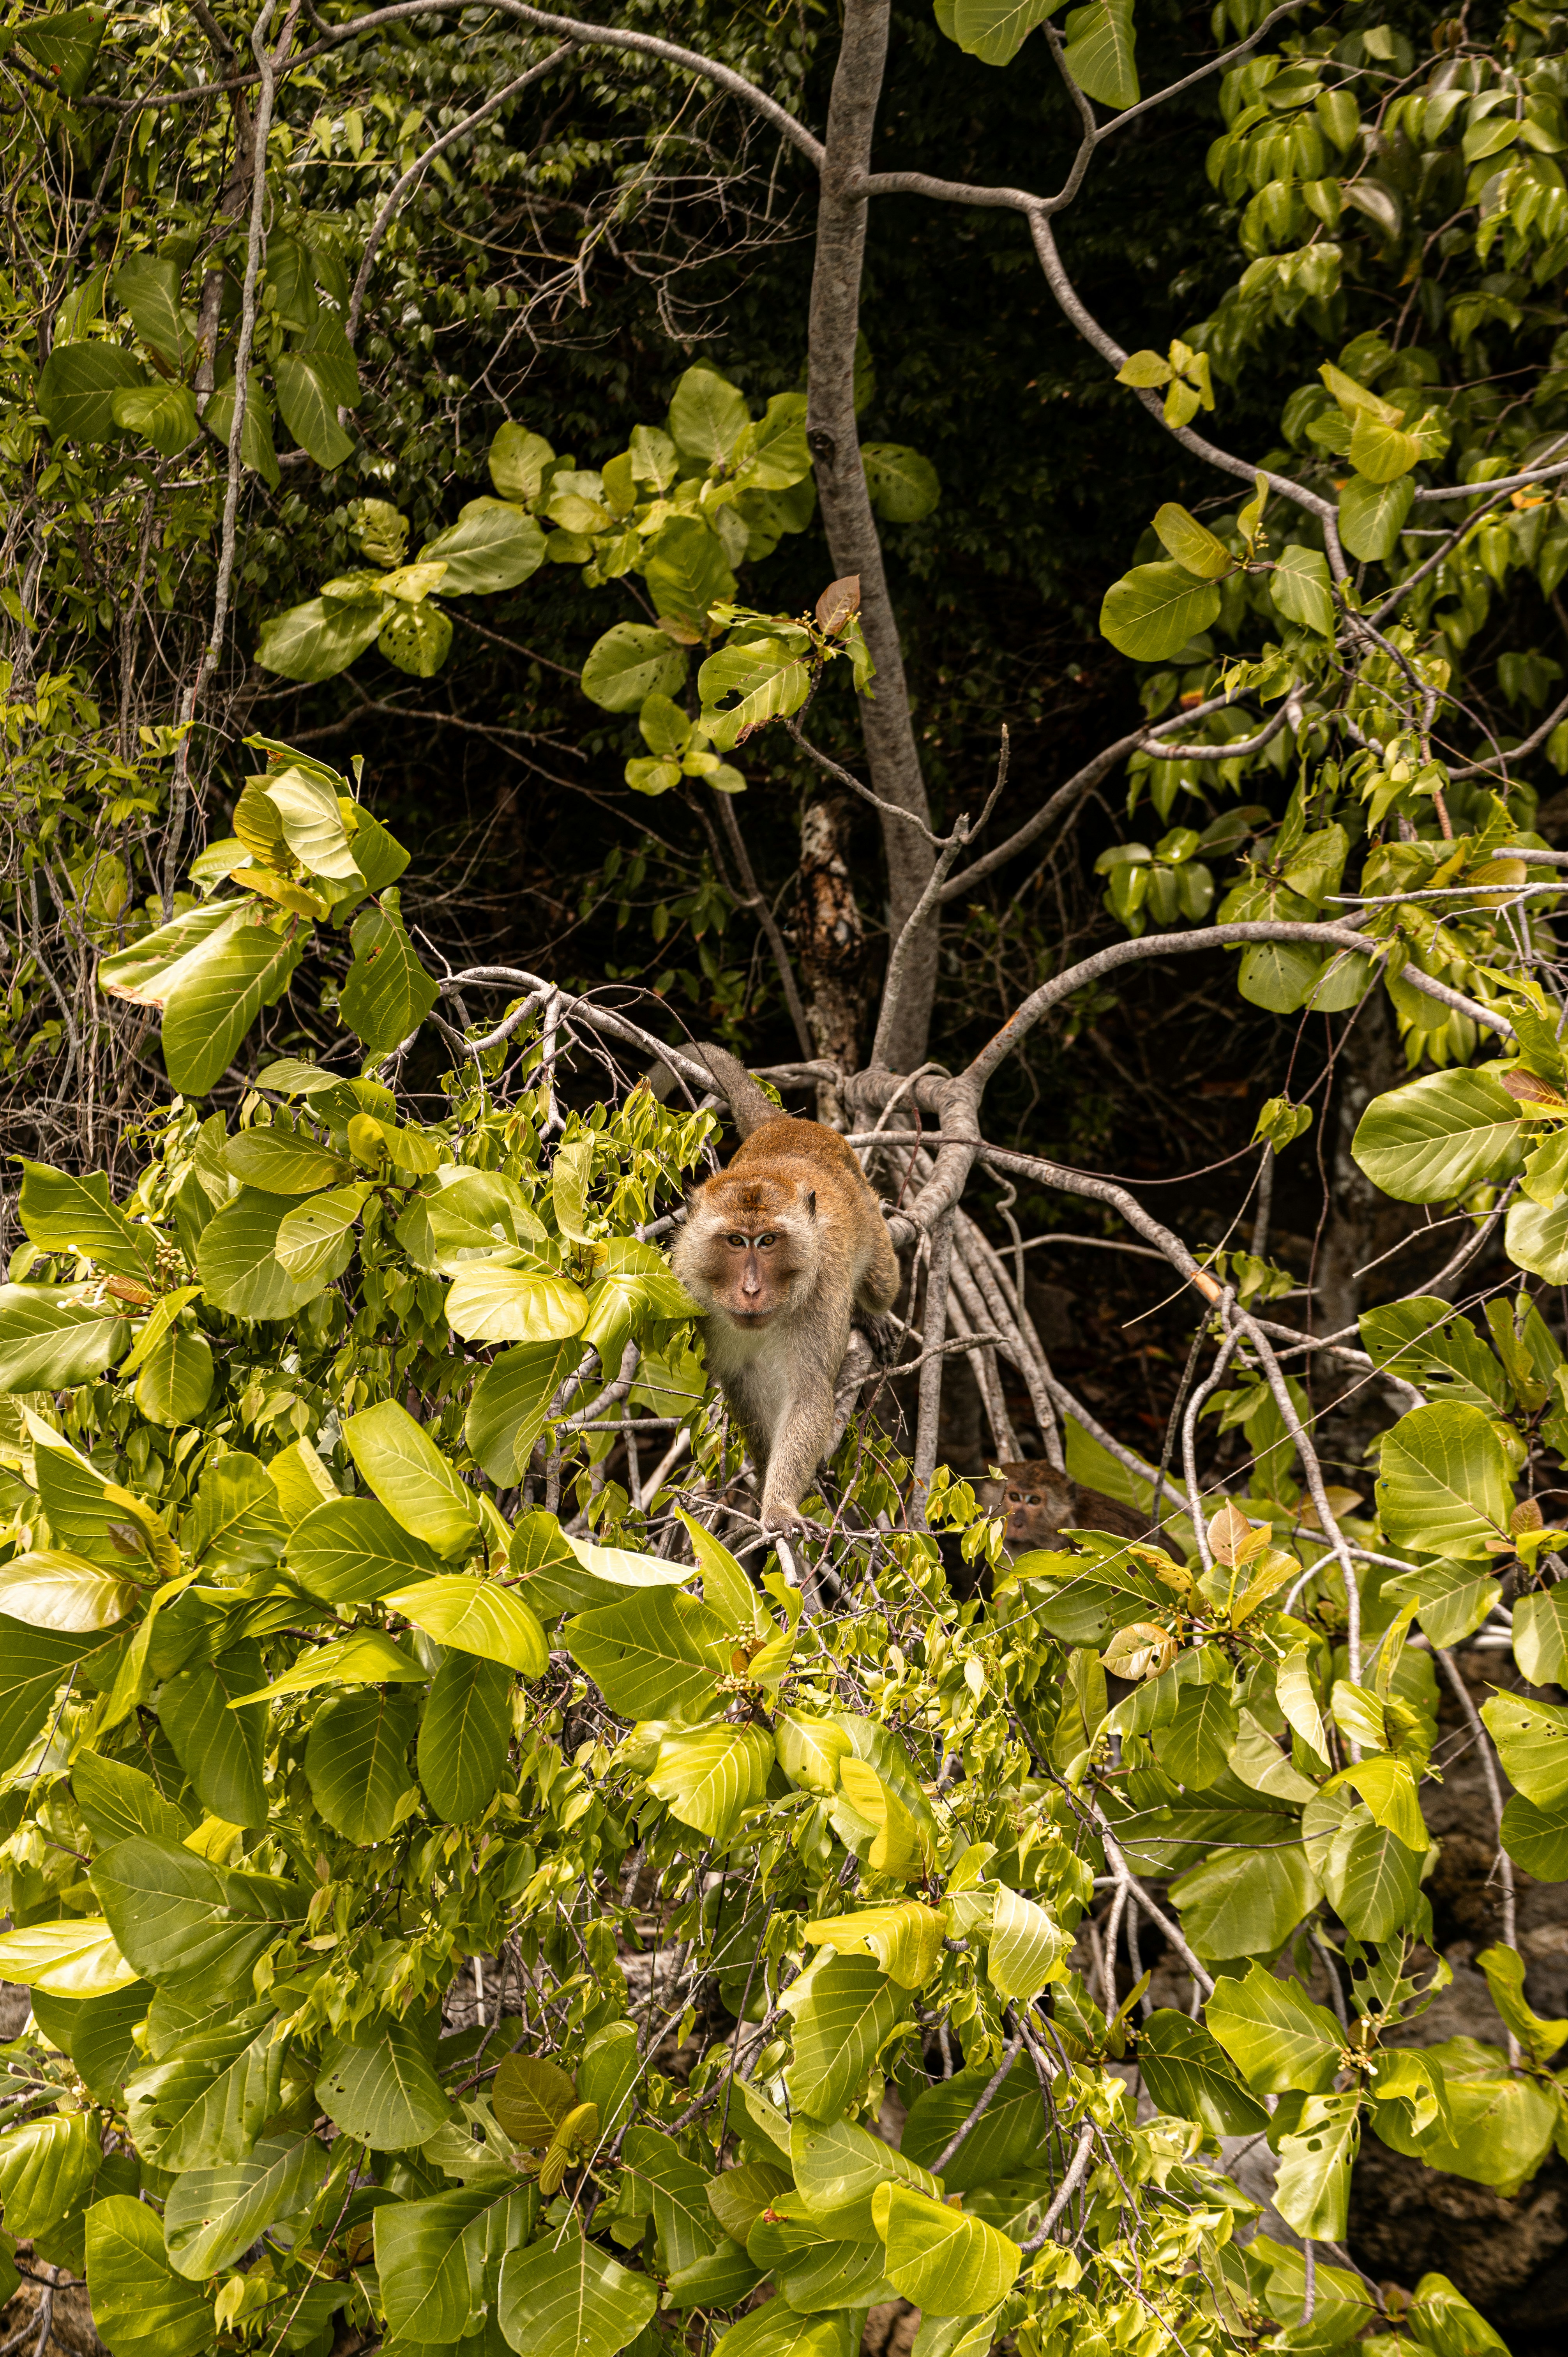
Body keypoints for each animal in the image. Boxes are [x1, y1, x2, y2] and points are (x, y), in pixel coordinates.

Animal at [670, 1043, 902, 1532]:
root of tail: (788, 1124)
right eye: (736, 1242)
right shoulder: (706, 1310)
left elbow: (808, 1396)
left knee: (881, 1283)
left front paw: (778, 1506)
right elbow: (744, 1388)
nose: (751, 1289)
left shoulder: (820, 1297)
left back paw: (870, 1312)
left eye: (768, 1241)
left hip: (871, 1224)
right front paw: (765, 1485)